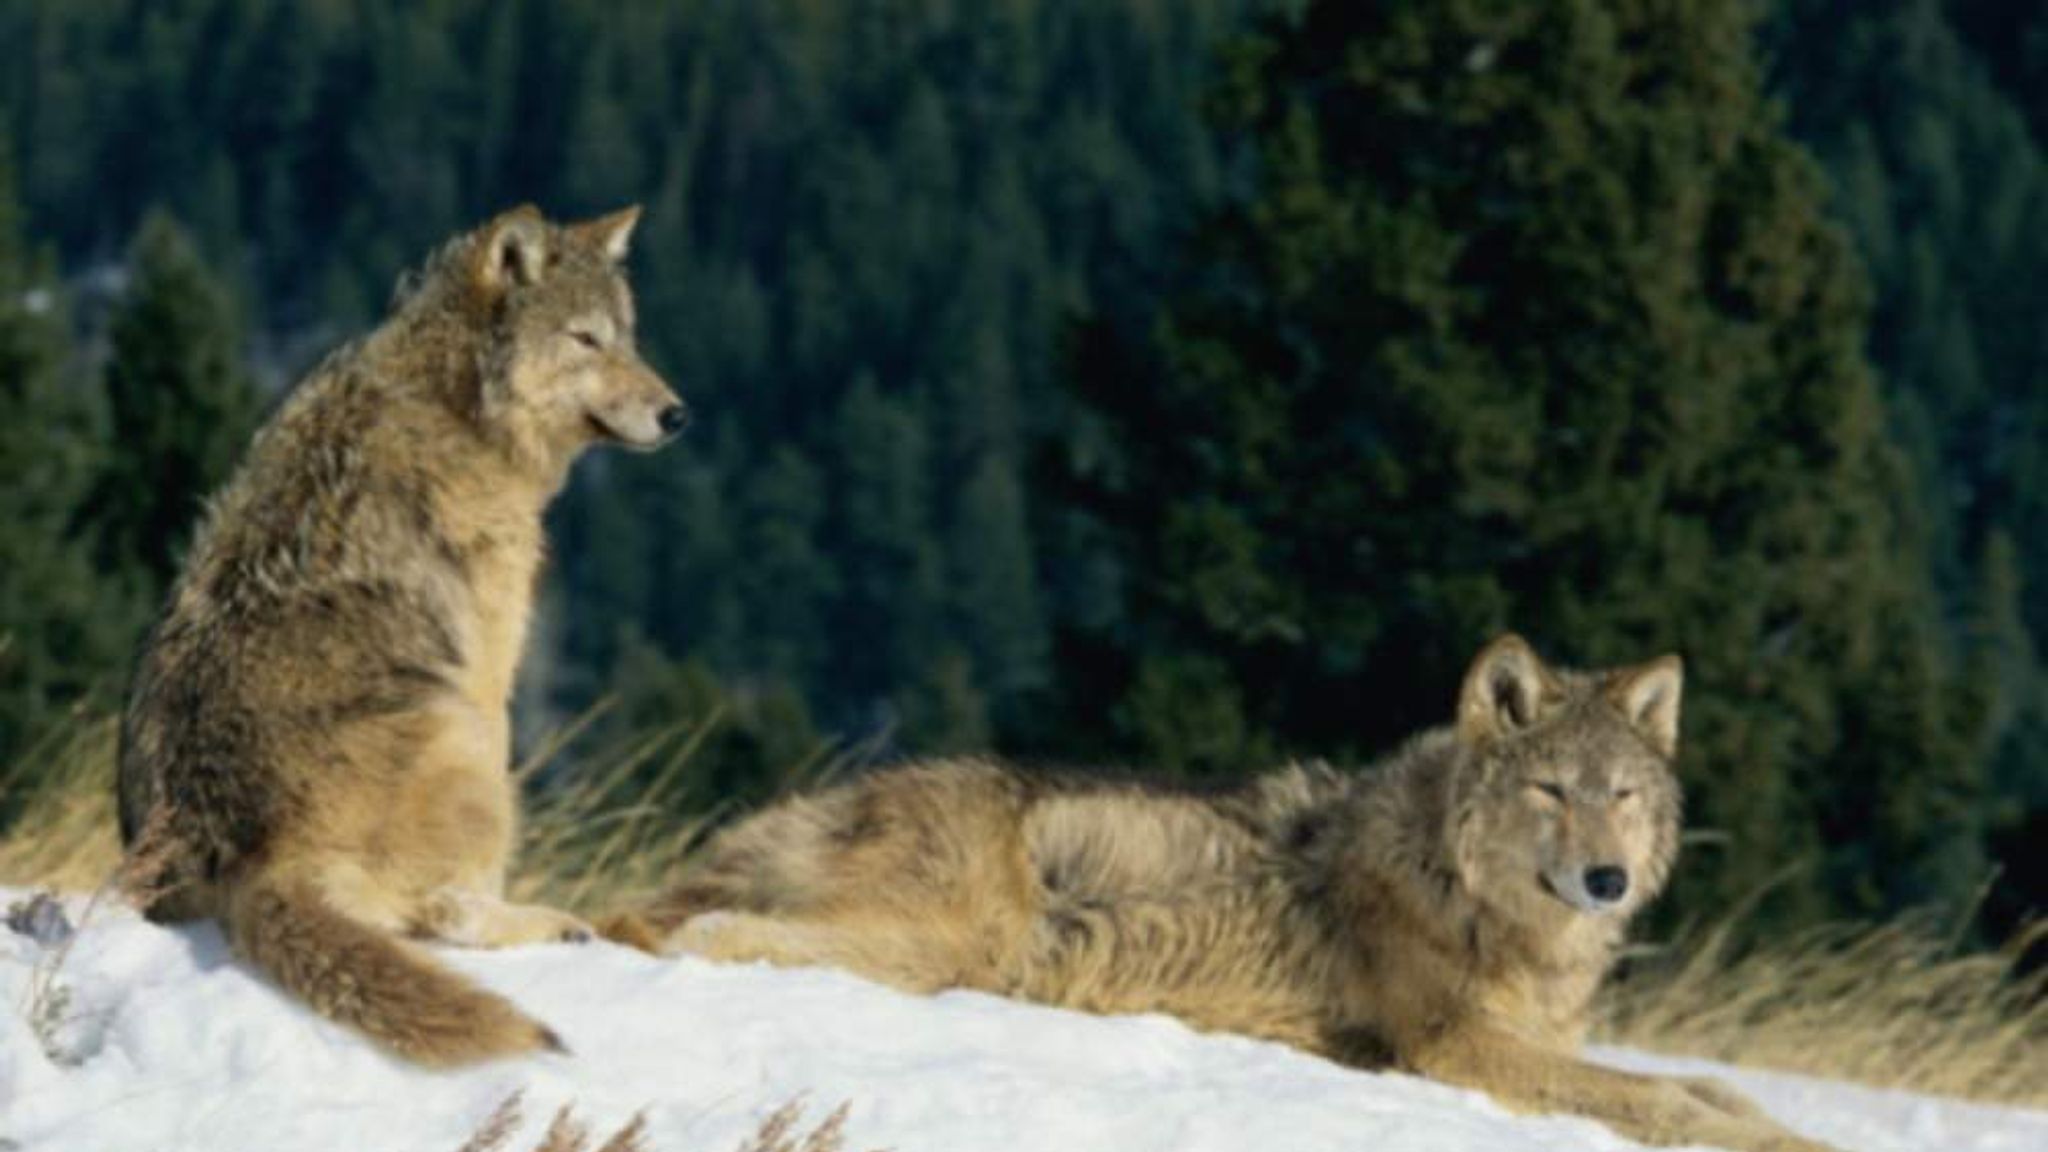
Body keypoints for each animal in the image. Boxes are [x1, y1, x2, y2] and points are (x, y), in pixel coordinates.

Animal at [116, 204, 684, 1066]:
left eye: (627, 338)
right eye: (585, 339)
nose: (677, 414)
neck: (456, 405)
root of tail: (256, 866)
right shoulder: (489, 670)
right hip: (465, 738)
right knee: (440, 914)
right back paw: (556, 923)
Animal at [614, 635, 1836, 1151]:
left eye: (1621, 795)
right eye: (1550, 790)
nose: (1606, 879)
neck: (1466, 891)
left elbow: (1707, 1089)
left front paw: (1788, 1127)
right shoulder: (1456, 1050)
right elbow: (1666, 1104)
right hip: (960, 946)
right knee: (709, 932)